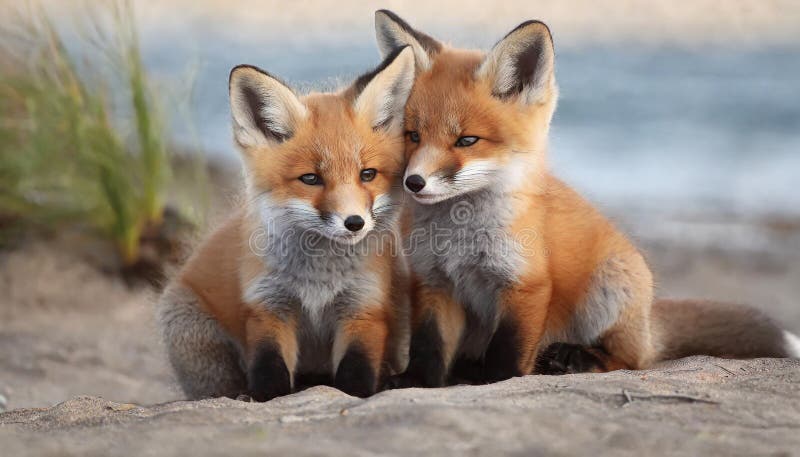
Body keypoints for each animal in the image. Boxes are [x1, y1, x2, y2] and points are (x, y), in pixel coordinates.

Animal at [156, 46, 417, 400]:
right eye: (310, 179)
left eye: (367, 174)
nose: (354, 223)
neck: (319, 282)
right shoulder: (268, 307)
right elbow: (270, 370)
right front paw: (267, 394)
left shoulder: (364, 307)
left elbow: (356, 375)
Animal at [373, 10, 800, 387]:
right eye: (413, 135)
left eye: (466, 141)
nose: (414, 182)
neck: (459, 239)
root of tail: (649, 322)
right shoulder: (434, 283)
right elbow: (428, 347)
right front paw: (414, 381)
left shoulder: (525, 284)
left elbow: (508, 353)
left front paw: (496, 380)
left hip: (608, 288)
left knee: (631, 360)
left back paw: (577, 358)